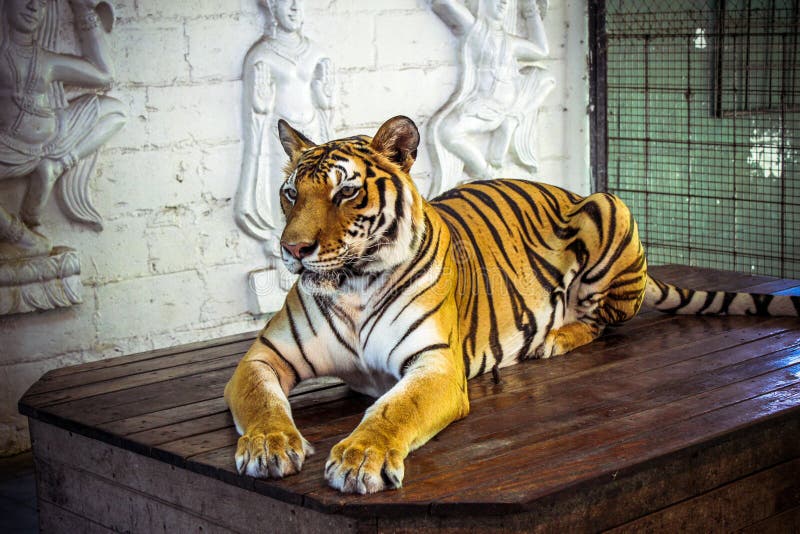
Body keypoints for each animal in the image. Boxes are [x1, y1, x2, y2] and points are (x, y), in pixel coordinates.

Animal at [224, 115, 800, 494]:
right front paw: (269, 445)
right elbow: (260, 398)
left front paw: (361, 456)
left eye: (345, 193)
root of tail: (568, 189)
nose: (293, 250)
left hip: (609, 207)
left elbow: (392, 407)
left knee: (602, 321)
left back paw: (553, 339)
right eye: (290, 194)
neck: (353, 287)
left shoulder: (435, 365)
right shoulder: (263, 356)